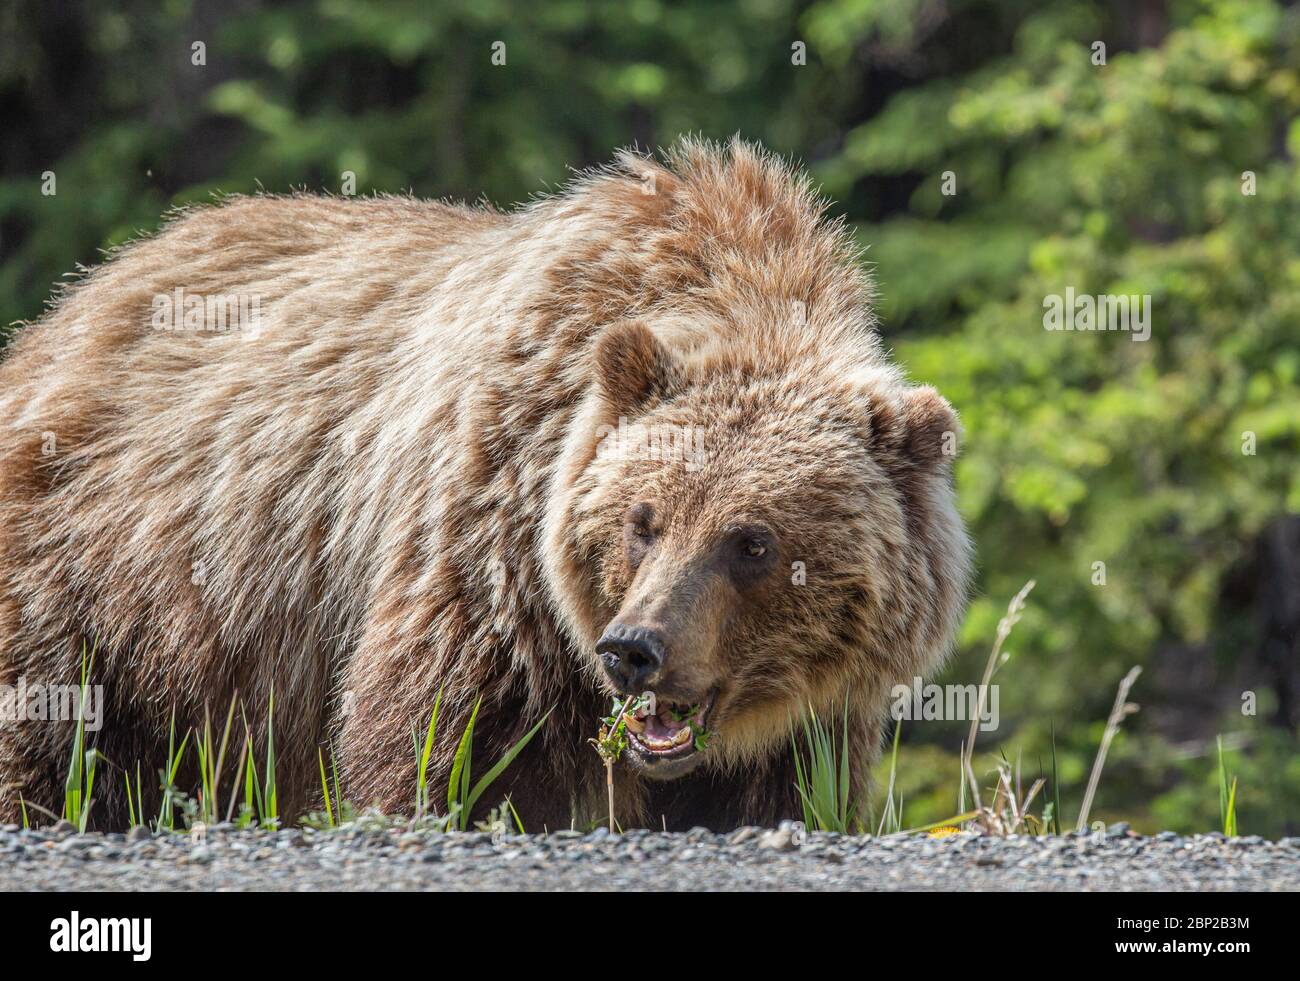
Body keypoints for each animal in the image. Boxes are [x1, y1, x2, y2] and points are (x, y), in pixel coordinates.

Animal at [0, 138, 970, 832]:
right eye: (644, 520)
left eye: (753, 540)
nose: (635, 647)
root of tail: (75, 300)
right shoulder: (491, 565)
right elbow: (439, 752)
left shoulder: (809, 721)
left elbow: (782, 795)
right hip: (104, 580)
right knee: (47, 733)